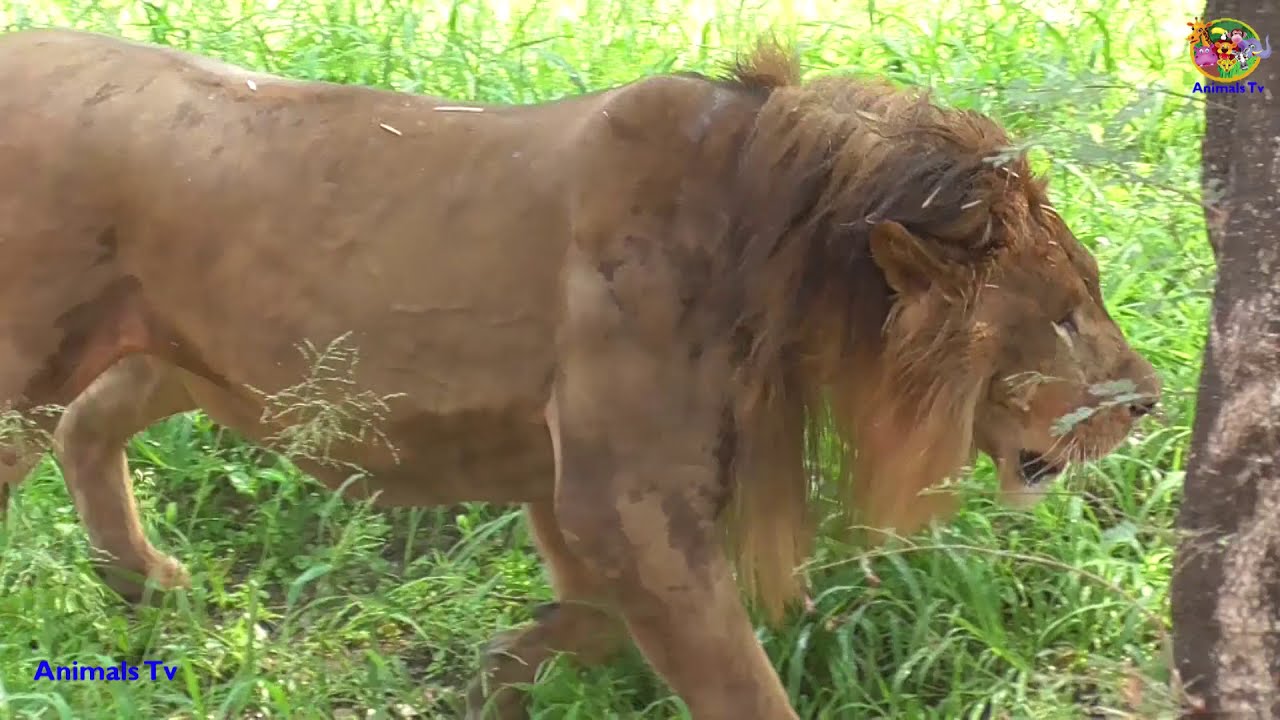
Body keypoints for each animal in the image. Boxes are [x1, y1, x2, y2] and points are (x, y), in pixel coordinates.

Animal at [0, 28, 1160, 720]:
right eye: (1064, 316)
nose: (1149, 403)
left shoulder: (571, 487)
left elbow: (593, 617)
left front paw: (499, 674)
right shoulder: (619, 494)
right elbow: (736, 681)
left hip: (180, 353)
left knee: (88, 426)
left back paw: (145, 587)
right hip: (35, 363)